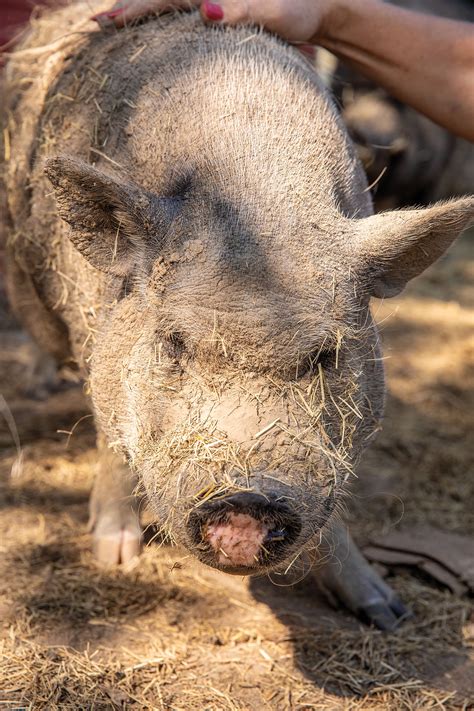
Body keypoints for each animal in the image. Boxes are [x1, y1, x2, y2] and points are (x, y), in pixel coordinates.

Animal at [3, 3, 473, 632]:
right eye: (172, 343)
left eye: (327, 354)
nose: (246, 504)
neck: (253, 201)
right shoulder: (94, 328)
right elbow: (111, 435)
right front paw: (114, 557)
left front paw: (387, 612)